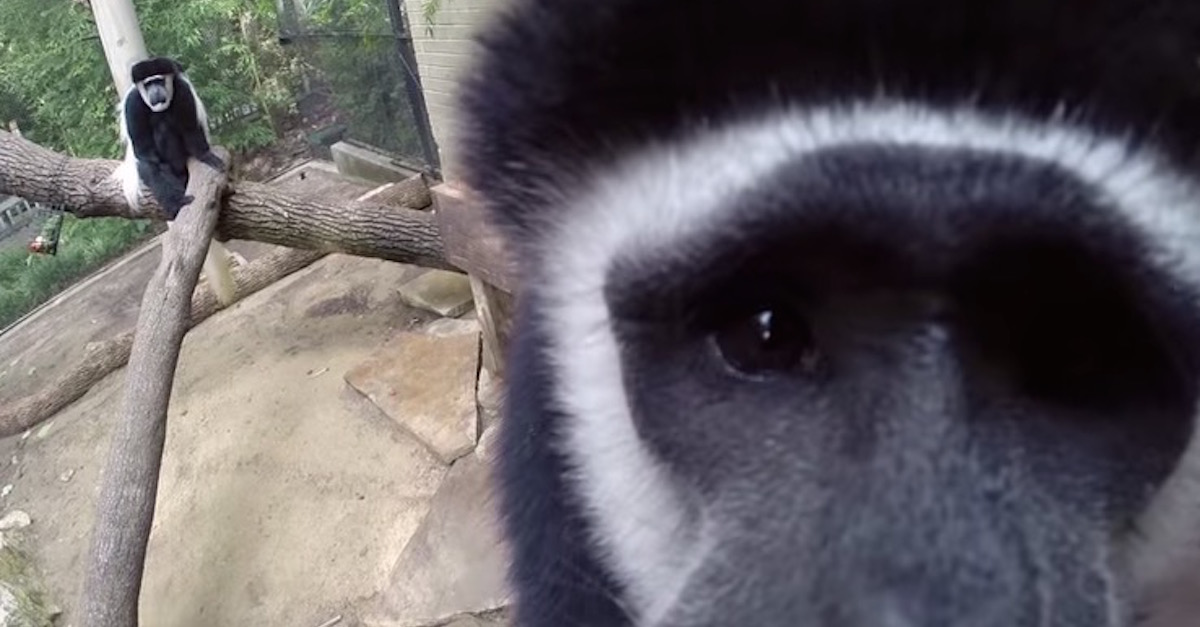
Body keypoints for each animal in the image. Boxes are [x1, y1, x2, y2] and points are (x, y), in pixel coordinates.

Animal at [114, 56, 236, 307]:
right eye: (148, 84)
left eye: (160, 80)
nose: (156, 92)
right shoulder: (135, 105)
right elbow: (146, 156)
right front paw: (175, 202)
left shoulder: (182, 93)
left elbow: (190, 129)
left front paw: (207, 157)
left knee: (168, 123)